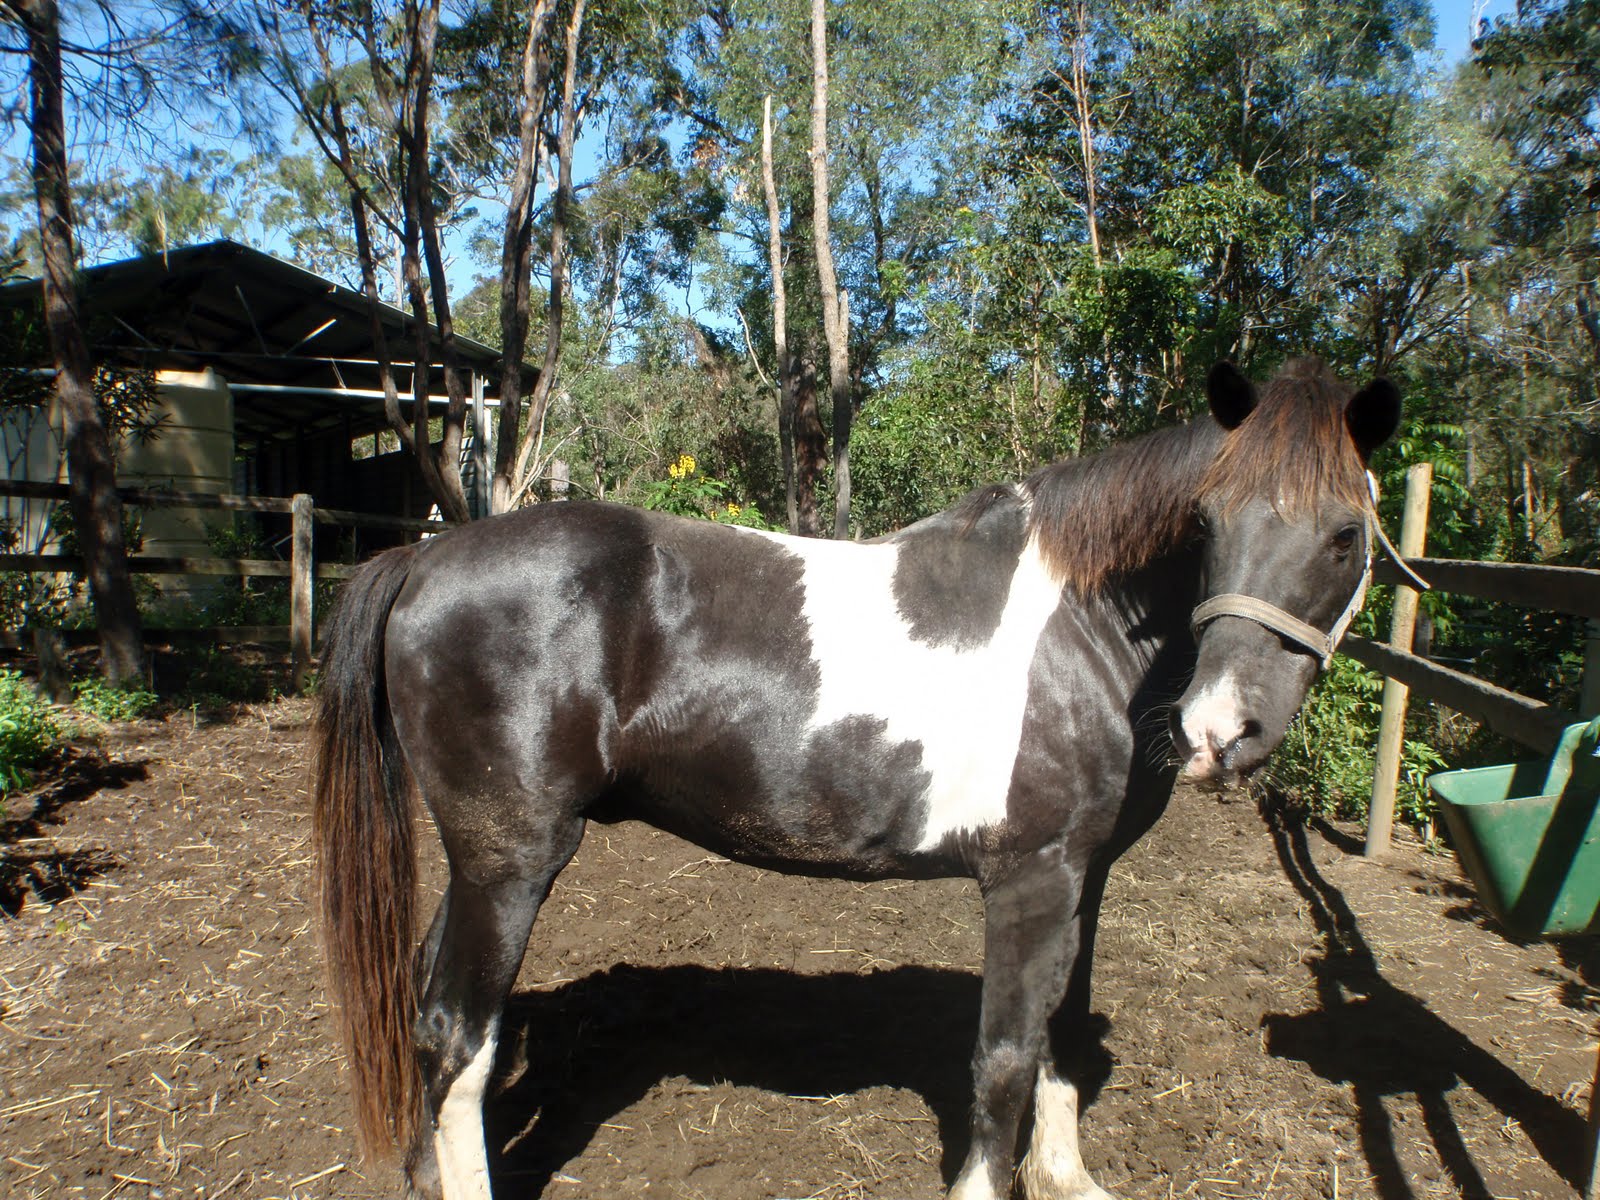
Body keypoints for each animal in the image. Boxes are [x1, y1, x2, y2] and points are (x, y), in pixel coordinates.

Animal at [310, 356, 1400, 1200]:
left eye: (1344, 533)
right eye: (1207, 523)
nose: (1221, 730)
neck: (1078, 628)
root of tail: (425, 559)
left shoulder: (1083, 878)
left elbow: (1058, 1031)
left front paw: (1064, 1175)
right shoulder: (1031, 881)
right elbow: (1004, 1057)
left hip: (479, 865)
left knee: (425, 1011)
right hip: (511, 864)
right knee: (457, 1039)